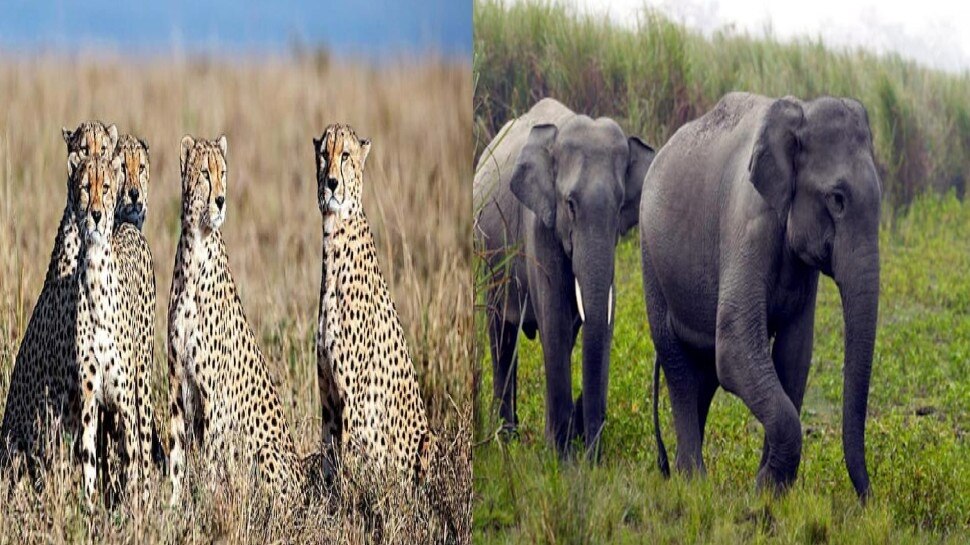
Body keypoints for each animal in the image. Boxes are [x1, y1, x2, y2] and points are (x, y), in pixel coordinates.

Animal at [475, 98, 655, 457]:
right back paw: (506, 439)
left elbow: (596, 320)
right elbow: (554, 319)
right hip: (489, 260)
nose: (591, 451)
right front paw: (559, 456)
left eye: (619, 207)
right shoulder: (539, 225)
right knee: (501, 335)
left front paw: (578, 450)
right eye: (570, 204)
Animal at [639, 92, 880, 499]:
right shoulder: (748, 224)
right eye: (836, 199)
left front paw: (770, 490)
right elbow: (736, 346)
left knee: (703, 372)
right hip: (650, 260)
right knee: (680, 367)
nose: (869, 500)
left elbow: (794, 354)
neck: (799, 115)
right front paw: (765, 488)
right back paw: (694, 483)